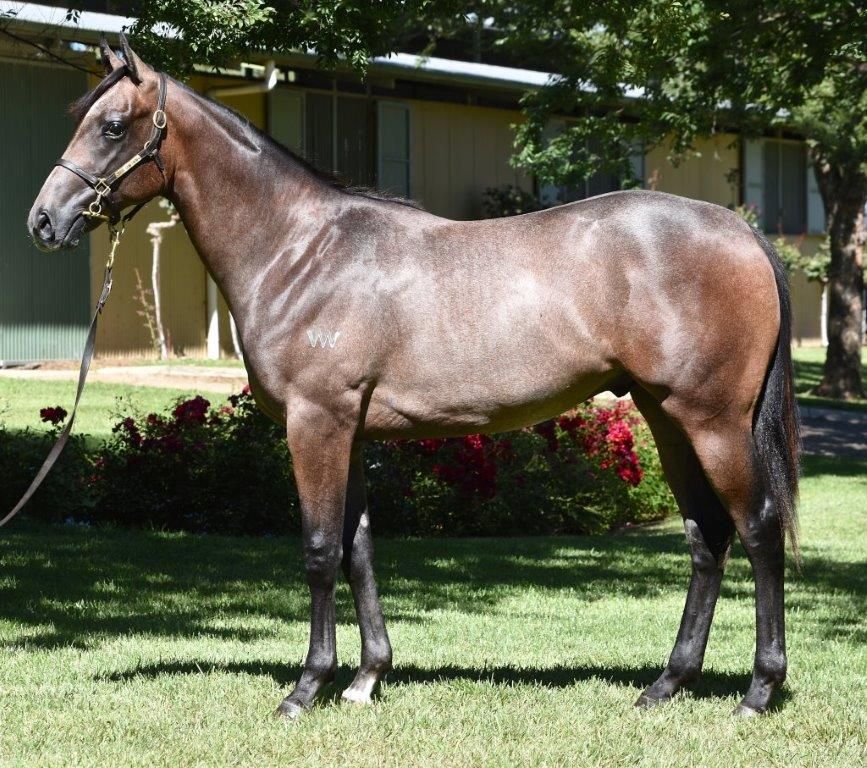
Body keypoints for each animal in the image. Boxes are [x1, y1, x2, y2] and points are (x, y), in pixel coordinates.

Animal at [28, 37, 799, 718]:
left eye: (112, 126)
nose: (43, 221)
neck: (299, 250)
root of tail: (740, 230)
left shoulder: (316, 424)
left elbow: (318, 551)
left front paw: (306, 688)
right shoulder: (349, 432)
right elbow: (358, 550)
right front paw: (367, 679)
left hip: (712, 421)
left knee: (757, 529)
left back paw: (758, 692)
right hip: (666, 417)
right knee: (706, 536)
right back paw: (665, 685)